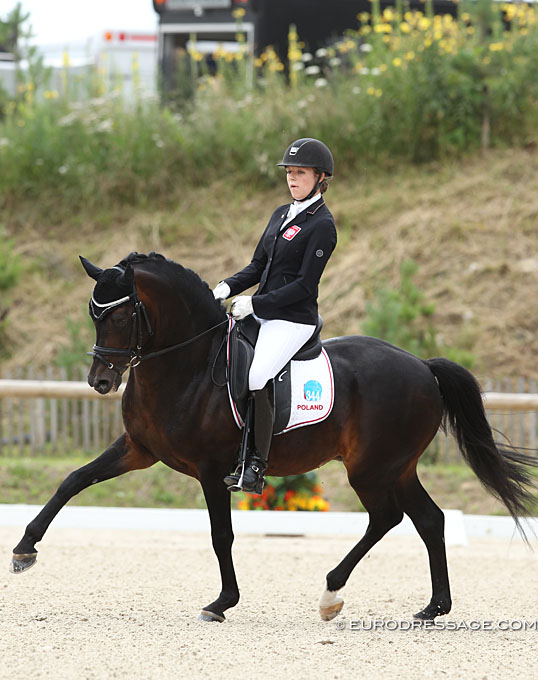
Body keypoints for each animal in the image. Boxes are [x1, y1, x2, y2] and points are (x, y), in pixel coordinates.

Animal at [10, 251, 538, 623]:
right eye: (93, 314)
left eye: (120, 316)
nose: (100, 380)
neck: (187, 365)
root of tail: (422, 367)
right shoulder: (139, 450)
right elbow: (73, 480)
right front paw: (24, 549)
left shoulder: (212, 469)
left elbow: (221, 534)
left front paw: (222, 602)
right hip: (397, 466)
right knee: (428, 520)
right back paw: (433, 607)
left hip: (372, 467)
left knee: (386, 518)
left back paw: (331, 592)